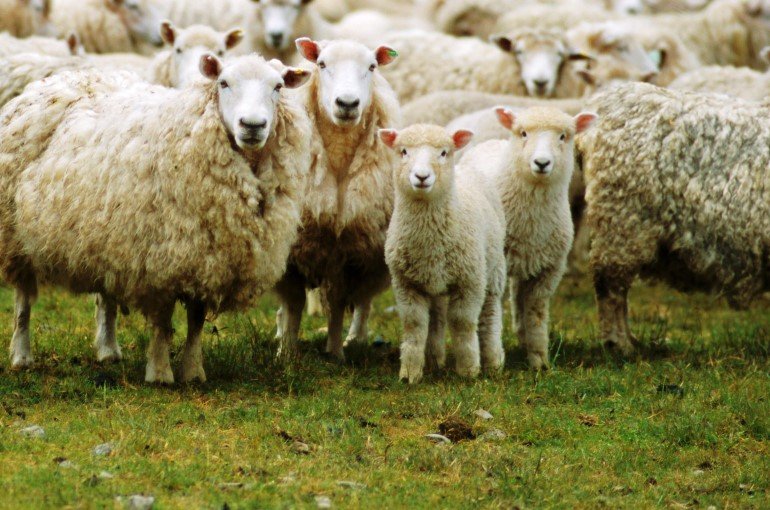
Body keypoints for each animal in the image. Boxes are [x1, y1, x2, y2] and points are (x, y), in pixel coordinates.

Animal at [0, 54, 313, 382]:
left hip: (106, 234)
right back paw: (22, 355)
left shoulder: (206, 258)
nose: (252, 125)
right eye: (223, 82)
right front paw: (160, 373)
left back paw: (108, 350)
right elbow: (163, 321)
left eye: (278, 86)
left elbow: (197, 320)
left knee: (105, 296)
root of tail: (62, 79)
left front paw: (193, 370)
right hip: (15, 237)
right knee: (23, 300)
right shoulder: (162, 258)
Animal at [274, 38, 400, 361]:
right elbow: (293, 304)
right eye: (322, 64)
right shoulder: (292, 252)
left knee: (364, 302)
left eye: (372, 66)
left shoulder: (350, 253)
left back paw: (356, 338)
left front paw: (334, 353)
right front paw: (287, 351)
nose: (347, 103)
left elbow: (338, 303)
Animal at [379, 124, 506, 383]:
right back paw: (434, 361)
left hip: (493, 268)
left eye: (444, 153)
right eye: (403, 151)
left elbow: (462, 322)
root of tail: (465, 168)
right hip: (433, 281)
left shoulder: (470, 281)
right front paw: (410, 373)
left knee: (490, 313)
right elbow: (414, 325)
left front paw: (468, 370)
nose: (421, 177)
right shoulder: (406, 284)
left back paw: (493, 361)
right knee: (436, 317)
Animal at [461, 107, 597, 368]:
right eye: (523, 133)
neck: (531, 221)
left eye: (564, 136)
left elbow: (536, 313)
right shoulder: (496, 267)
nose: (542, 163)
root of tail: (493, 142)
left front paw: (539, 361)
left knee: (518, 297)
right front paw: (494, 359)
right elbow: (490, 311)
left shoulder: (548, 269)